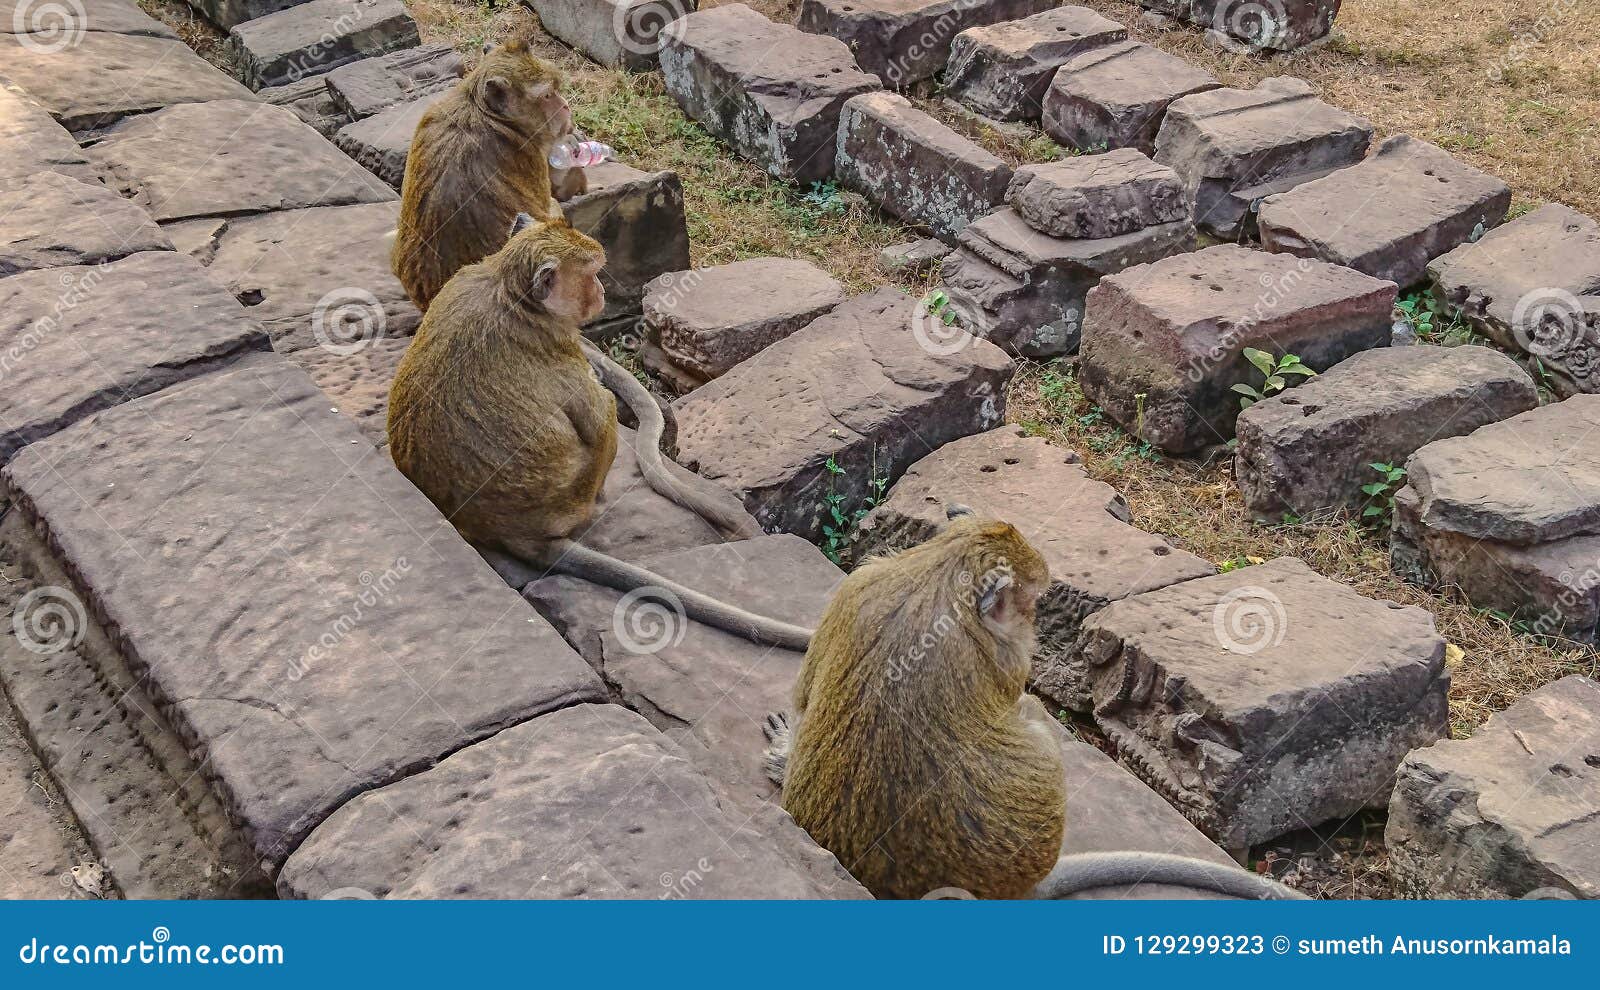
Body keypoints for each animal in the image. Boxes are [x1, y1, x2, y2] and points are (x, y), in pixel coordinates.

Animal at [387, 214, 812, 652]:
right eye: (591, 274)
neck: (508, 290)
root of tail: (513, 534)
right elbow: (597, 416)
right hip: (576, 497)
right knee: (603, 417)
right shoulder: (559, 351)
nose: (602, 291)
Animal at [766, 506, 1307, 901]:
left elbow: (805, 692)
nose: (1033, 620)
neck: (944, 573)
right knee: (1035, 722)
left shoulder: (858, 584)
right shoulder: (1007, 656)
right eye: (1028, 602)